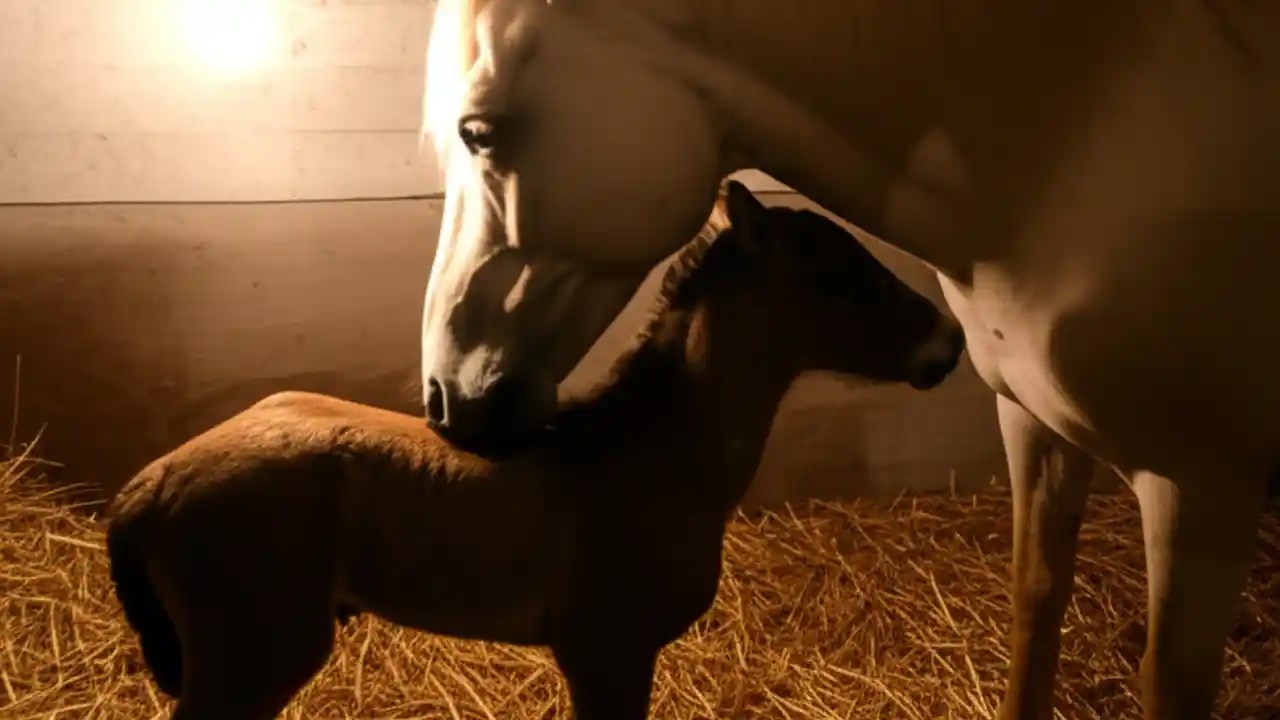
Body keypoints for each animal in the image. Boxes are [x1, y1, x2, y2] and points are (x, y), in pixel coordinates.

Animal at [104, 181, 965, 720]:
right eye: (842, 282)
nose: (949, 345)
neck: (651, 456)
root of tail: (148, 483)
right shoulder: (607, 653)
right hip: (256, 656)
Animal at [413, 1, 1280, 717]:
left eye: (478, 131)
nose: (444, 397)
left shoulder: (1199, 487)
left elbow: (1169, 683)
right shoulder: (1035, 422)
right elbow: (1036, 600)